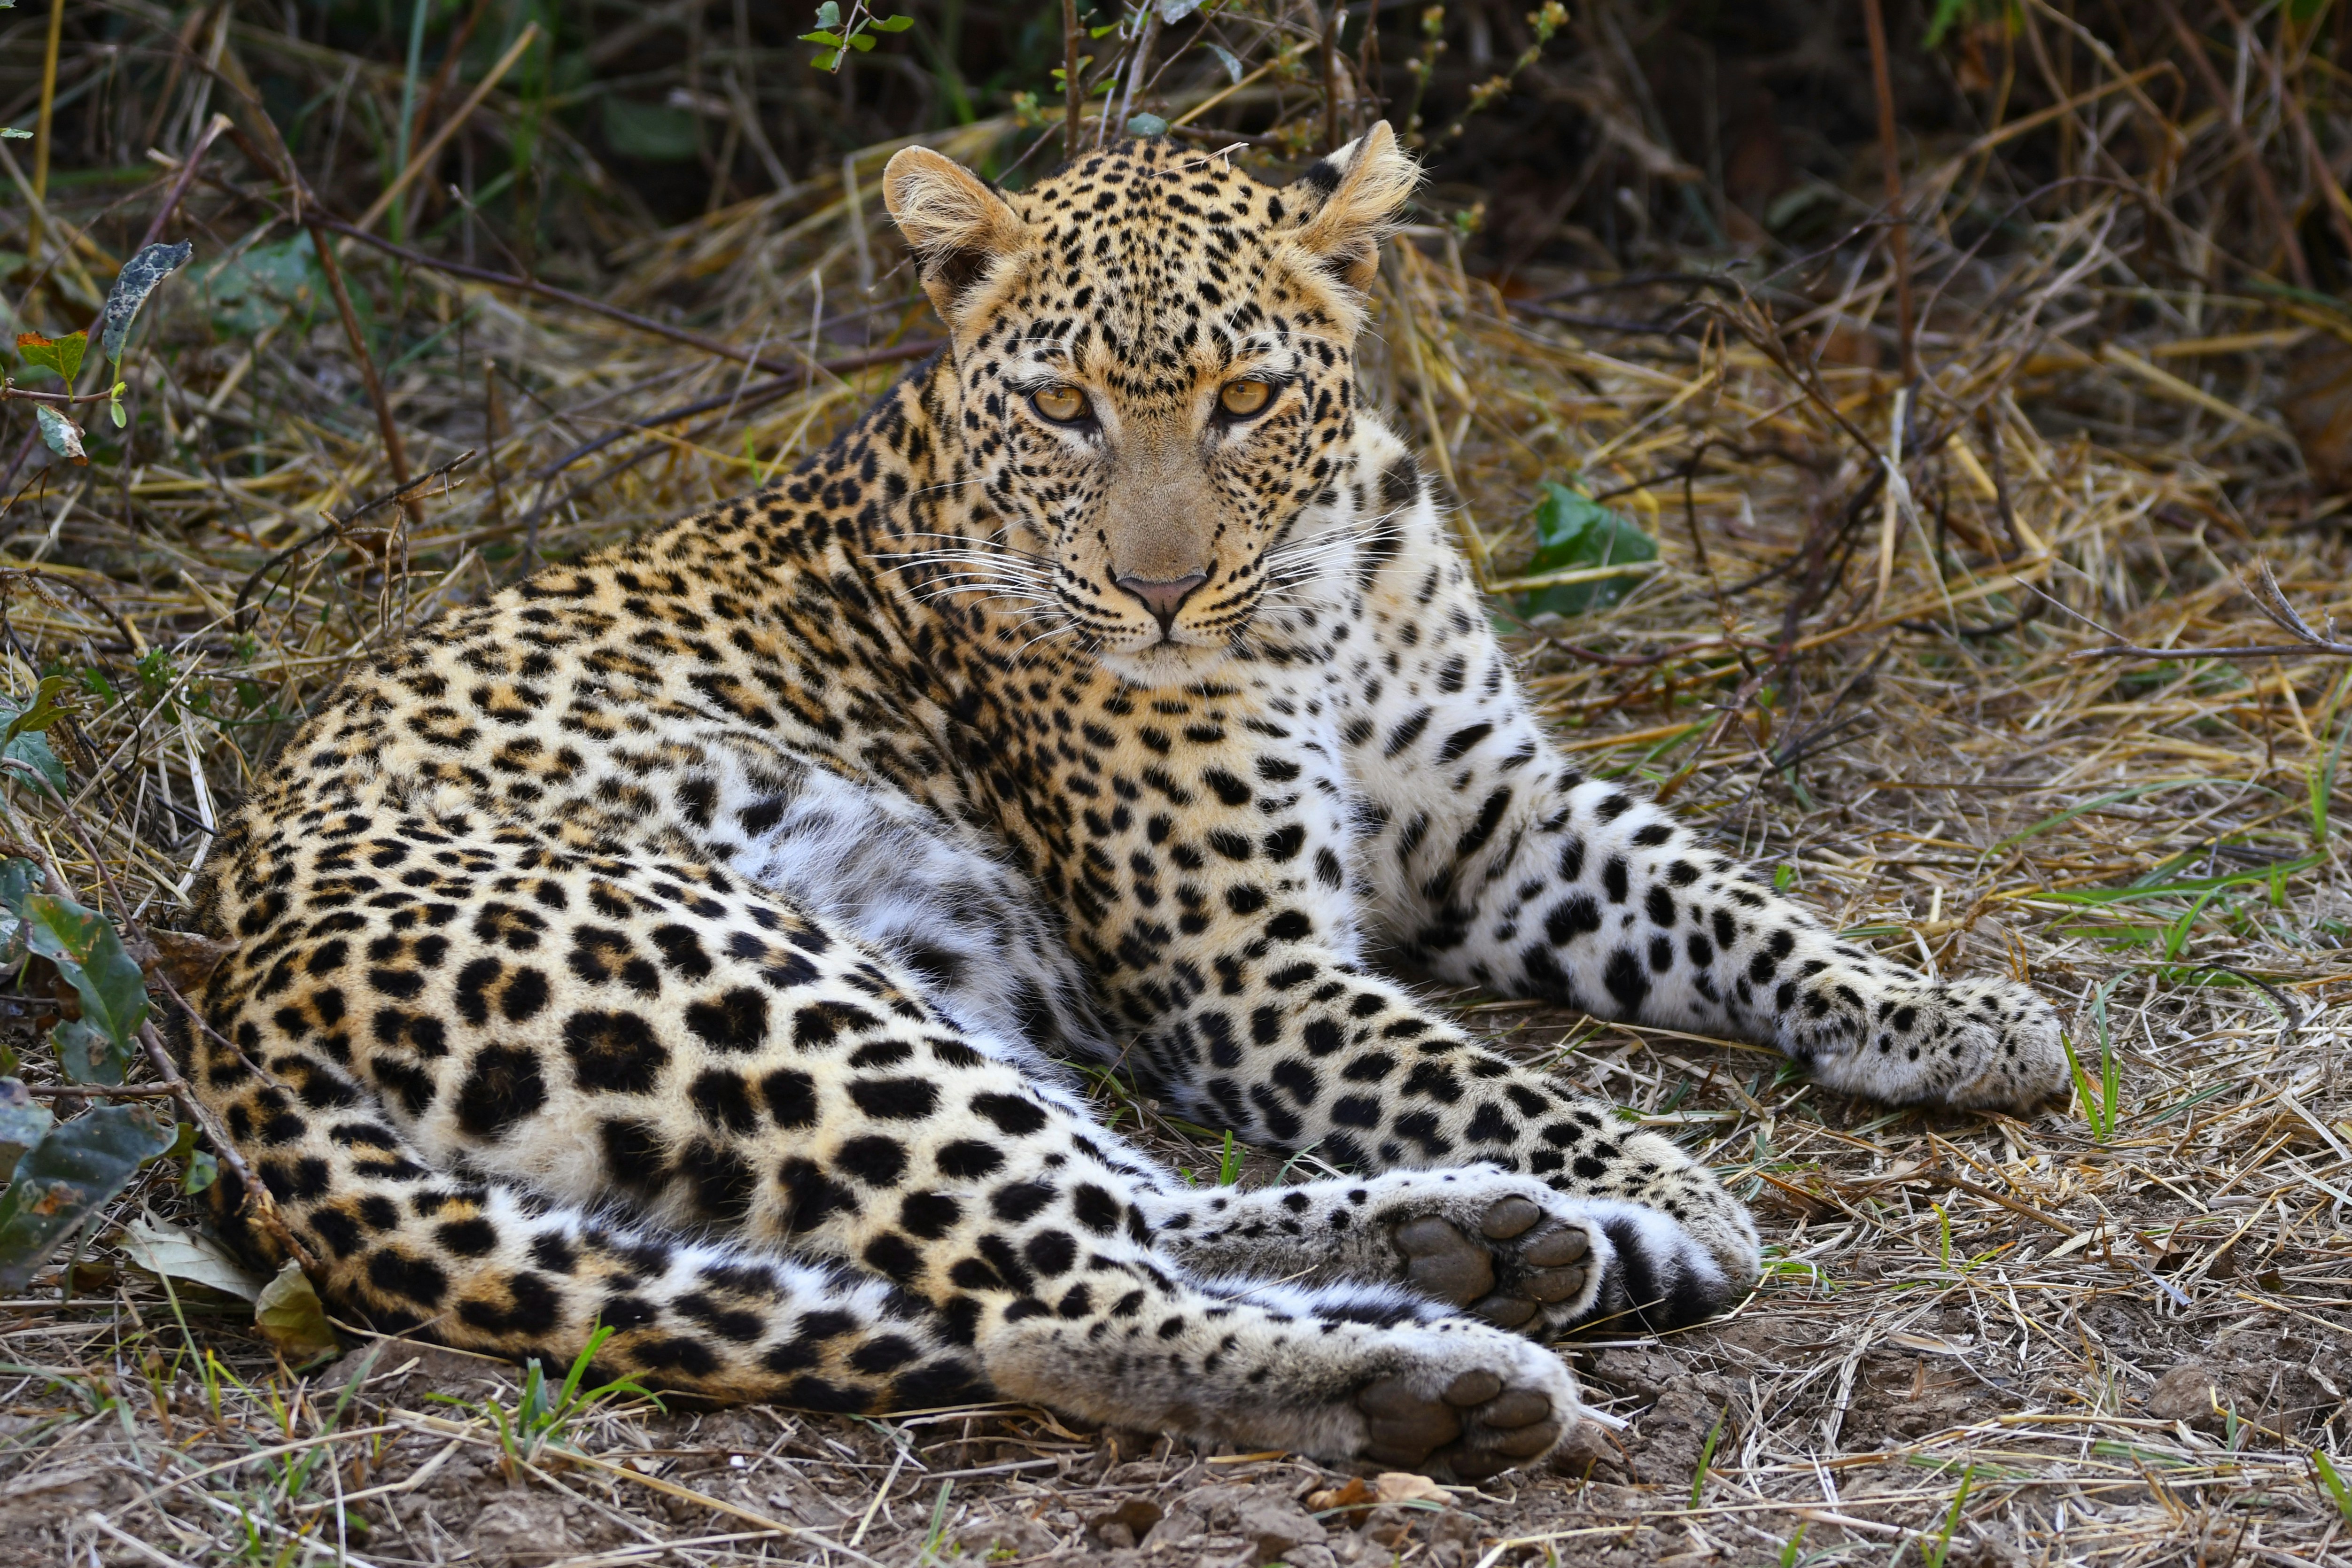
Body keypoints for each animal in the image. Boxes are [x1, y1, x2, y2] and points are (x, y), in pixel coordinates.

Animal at [178, 124, 2066, 1483]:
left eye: (1247, 398)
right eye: (1064, 407)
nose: (1159, 593)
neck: (1319, 585)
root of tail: (224, 994)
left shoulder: (1493, 817)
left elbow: (1722, 898)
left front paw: (1939, 1014)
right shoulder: (1236, 963)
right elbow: (1485, 1069)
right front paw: (1684, 1185)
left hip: (902, 989)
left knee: (1120, 1205)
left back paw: (1487, 1241)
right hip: (746, 974)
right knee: (1043, 1298)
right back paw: (1449, 1370)